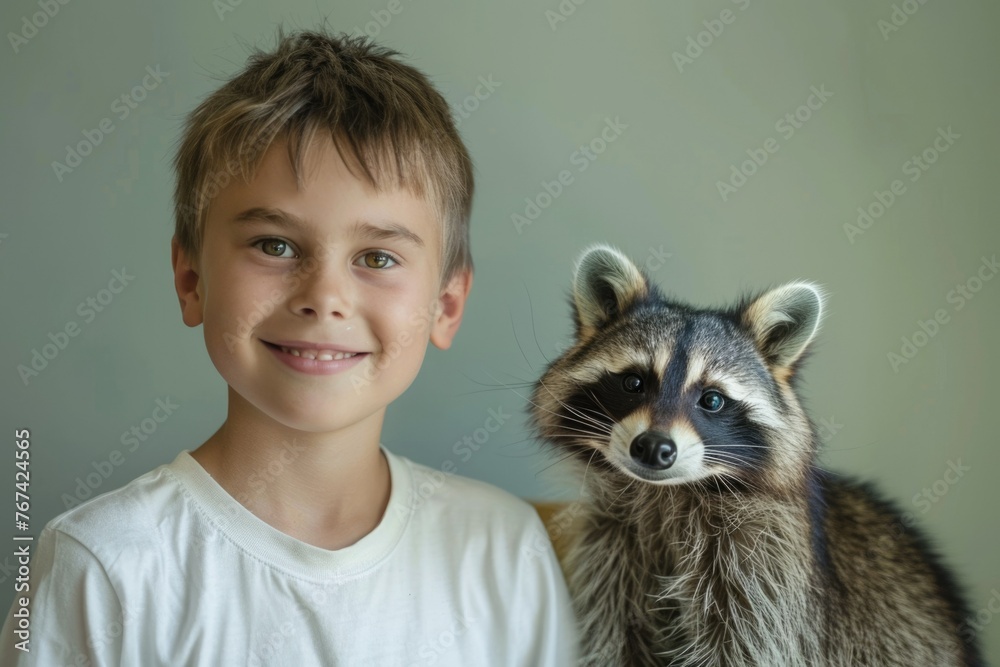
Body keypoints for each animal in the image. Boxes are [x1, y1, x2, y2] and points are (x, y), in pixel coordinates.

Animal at [528, 244, 983, 666]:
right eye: (633, 383)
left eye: (712, 400)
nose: (654, 448)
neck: (667, 494)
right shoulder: (609, 556)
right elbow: (614, 639)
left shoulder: (768, 576)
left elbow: (752, 647)